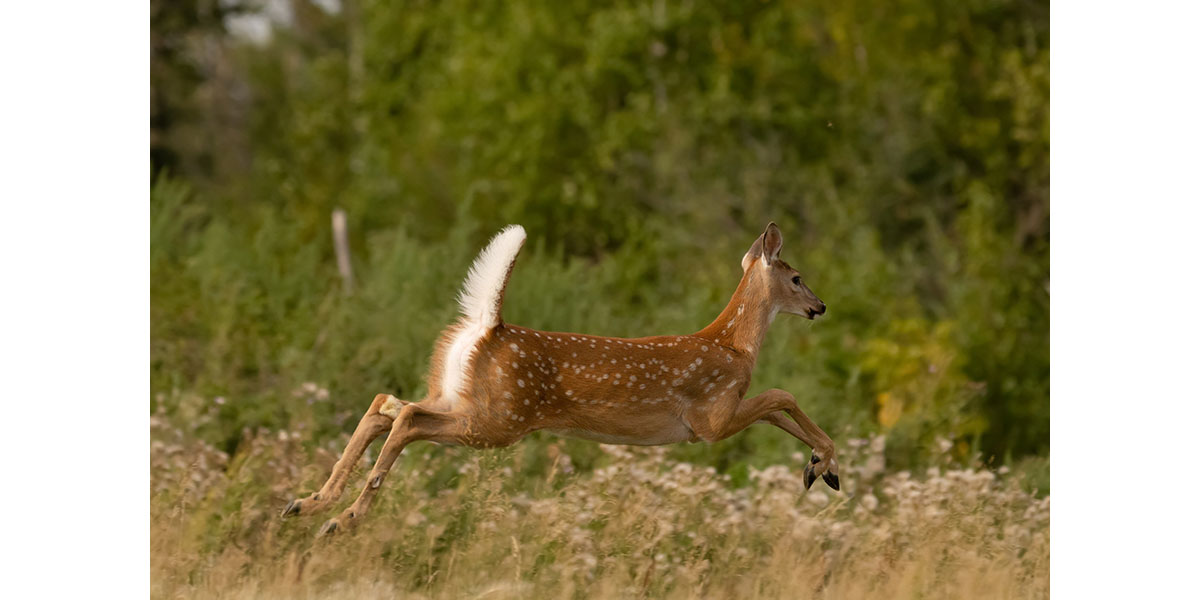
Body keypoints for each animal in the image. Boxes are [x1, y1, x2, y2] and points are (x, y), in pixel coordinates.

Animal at [282, 222, 839, 535]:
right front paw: (824, 464)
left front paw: (821, 468)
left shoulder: (721, 416)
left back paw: (308, 503)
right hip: (498, 420)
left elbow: (780, 409)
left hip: (461, 399)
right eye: (796, 277)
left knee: (385, 404)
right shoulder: (710, 418)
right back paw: (342, 519)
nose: (820, 306)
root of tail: (488, 326)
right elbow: (782, 394)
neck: (732, 346)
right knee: (407, 418)